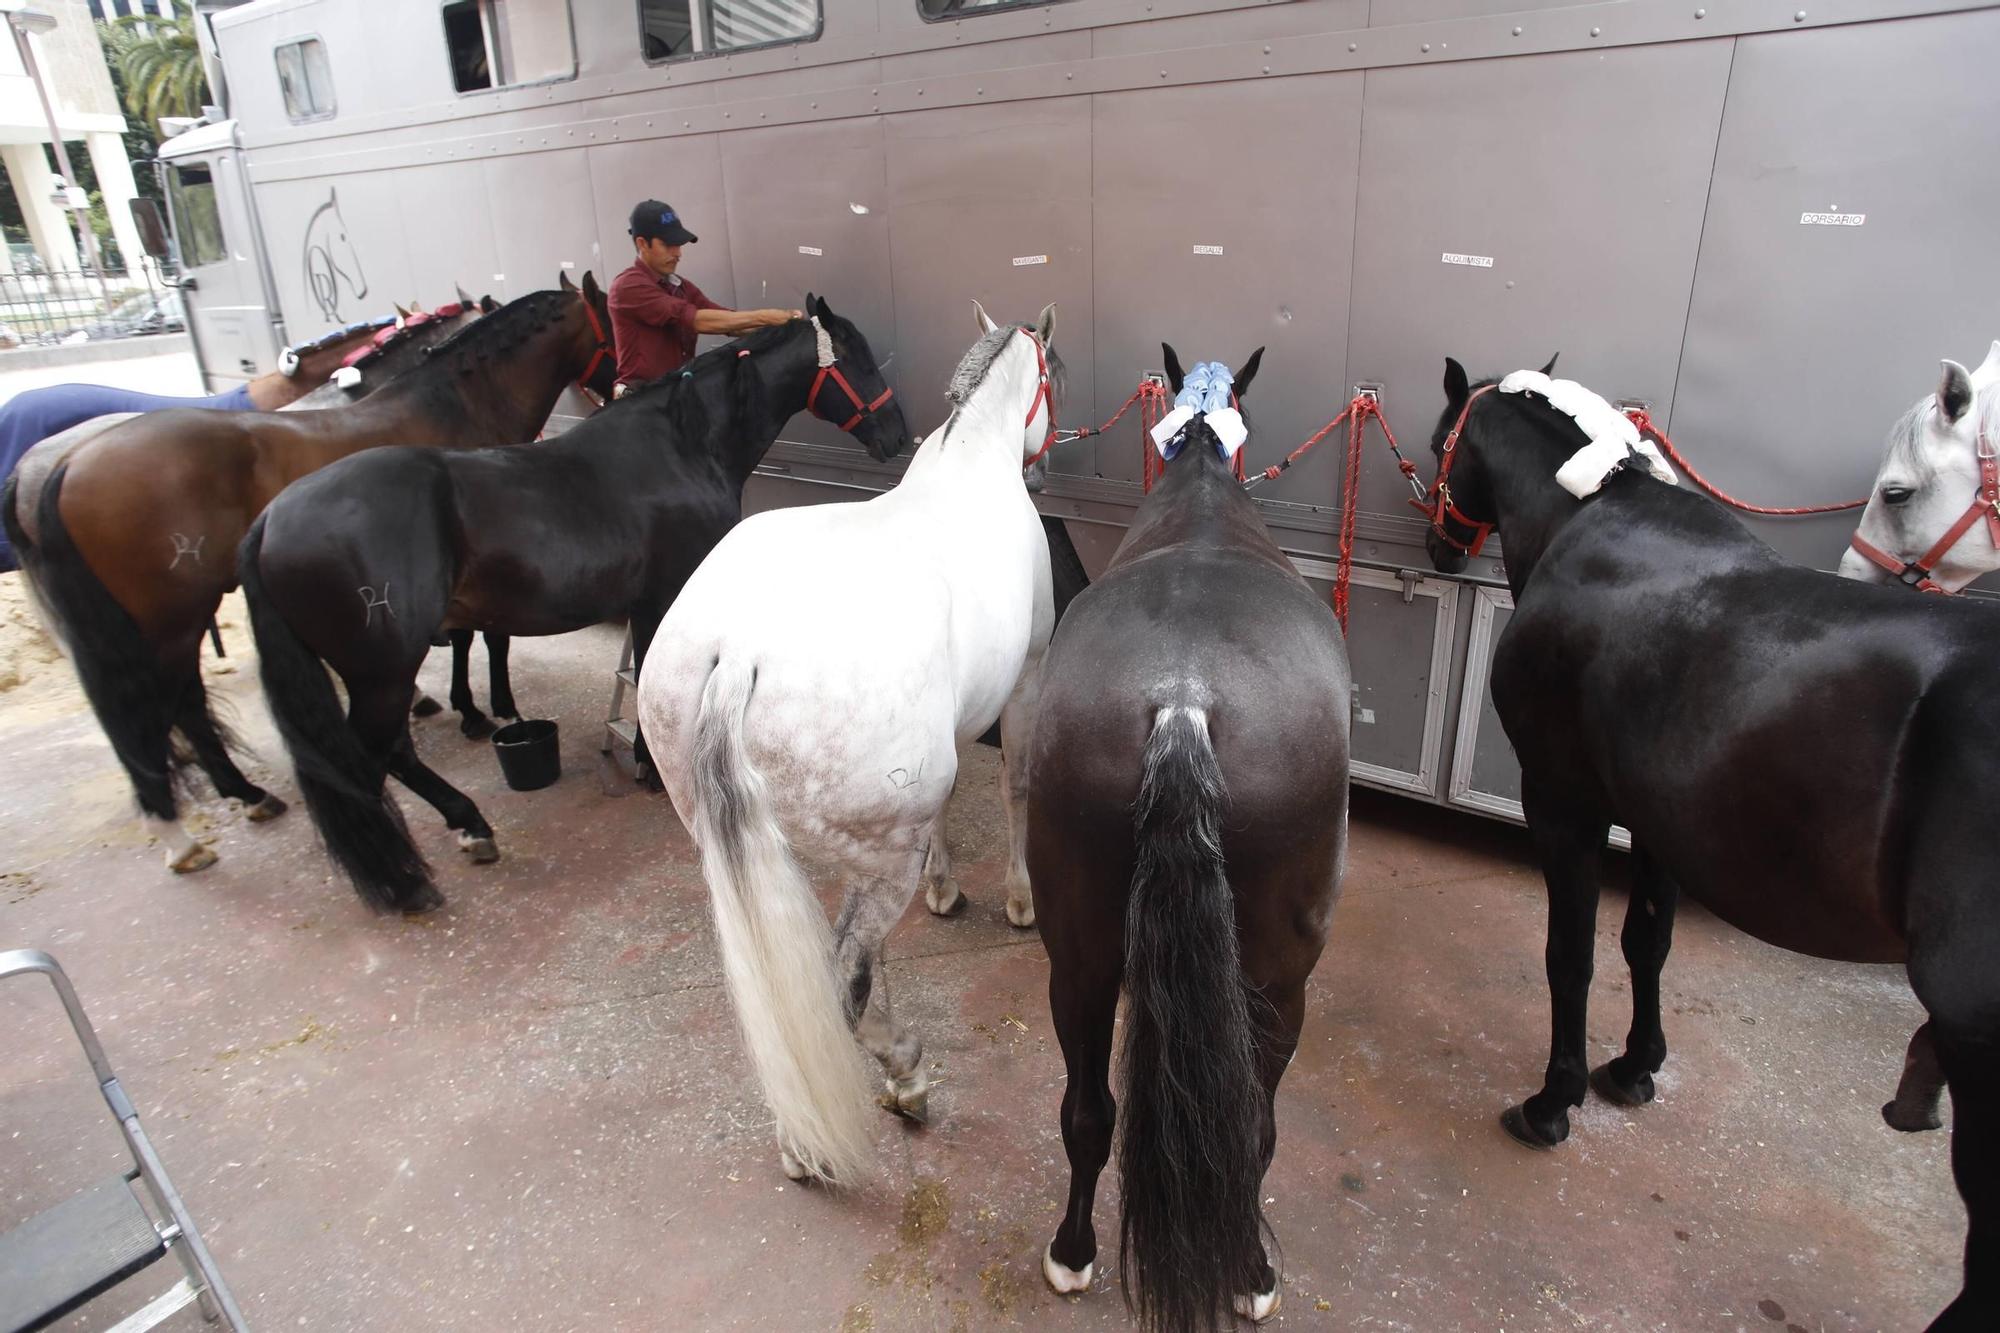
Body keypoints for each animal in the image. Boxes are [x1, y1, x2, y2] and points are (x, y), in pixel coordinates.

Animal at [2, 274, 616, 877]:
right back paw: (209, 819)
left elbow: (470, 640)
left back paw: (236, 799)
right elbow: (485, 638)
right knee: (182, 705)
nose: (615, 385)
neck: (450, 404)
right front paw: (489, 708)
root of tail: (65, 463)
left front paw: (467, 706)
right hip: (171, 620)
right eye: (609, 321)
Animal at [239, 294, 910, 914]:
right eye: (855, 357)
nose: (898, 435)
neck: (681, 446)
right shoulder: (669, 595)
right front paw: (655, 768)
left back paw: (464, 828)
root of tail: (270, 519)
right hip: (382, 674)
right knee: (369, 761)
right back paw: (407, 877)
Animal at [635, 301, 1058, 1183]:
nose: (1048, 461)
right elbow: (1014, 787)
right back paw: (899, 1079)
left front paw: (946, 887)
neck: (970, 461)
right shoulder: (1028, 677)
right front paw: (1018, 896)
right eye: (1049, 375)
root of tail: (738, 654)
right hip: (872, 863)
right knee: (842, 990)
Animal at [1024, 347, 1348, 1331]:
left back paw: (1072, 1251)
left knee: (1087, 1111)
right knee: (1253, 1125)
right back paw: (1248, 1268)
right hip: (1278, 976)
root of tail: (1184, 695)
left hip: (1079, 955)